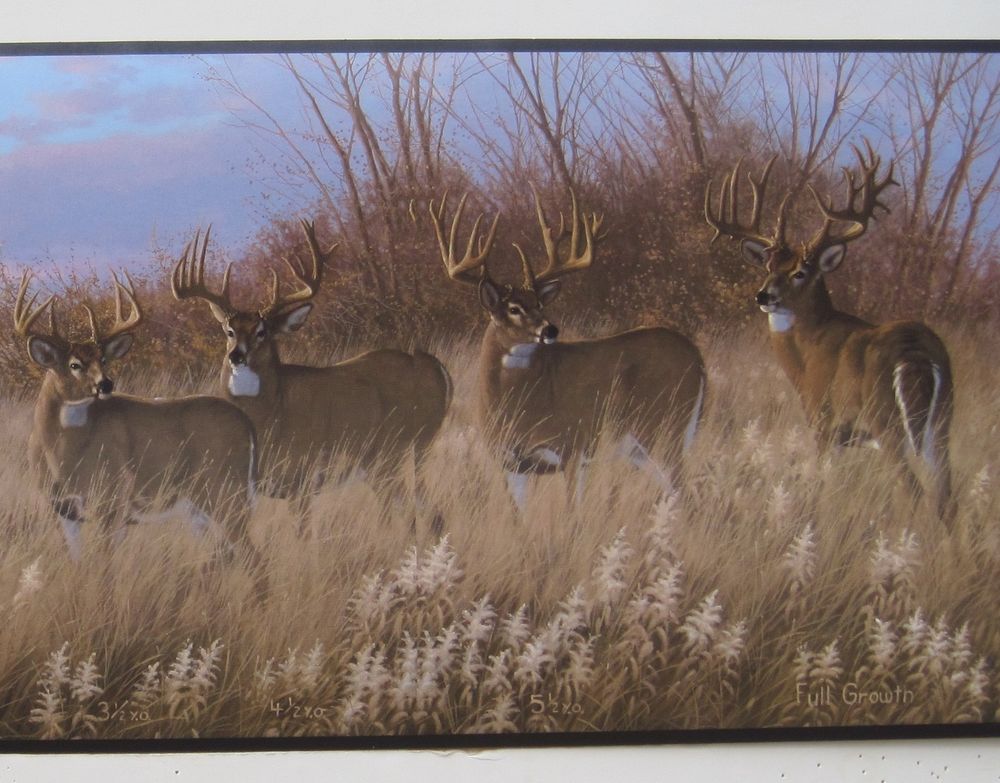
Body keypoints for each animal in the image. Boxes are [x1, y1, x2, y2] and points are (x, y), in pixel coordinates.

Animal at [15, 271, 266, 593]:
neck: (61, 454)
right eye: (74, 364)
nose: (106, 384)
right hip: (200, 506)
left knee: (252, 557)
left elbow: (104, 572)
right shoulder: (62, 510)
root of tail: (246, 422)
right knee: (223, 555)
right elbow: (78, 567)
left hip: (226, 489)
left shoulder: (111, 500)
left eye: (104, 359)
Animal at [171, 220, 451, 533]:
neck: (270, 417)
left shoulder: (302, 475)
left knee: (427, 511)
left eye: (262, 332)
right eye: (229, 331)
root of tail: (432, 365)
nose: (236, 356)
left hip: (407, 445)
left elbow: (302, 532)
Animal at [429, 187, 706, 510]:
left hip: (664, 425)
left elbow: (572, 514)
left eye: (540, 304)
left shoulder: (575, 446)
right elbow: (520, 518)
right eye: (513, 308)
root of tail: (696, 356)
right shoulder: (509, 464)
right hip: (644, 446)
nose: (550, 329)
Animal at [705, 141, 955, 526]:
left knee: (913, 490)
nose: (764, 296)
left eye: (800, 272)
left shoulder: (823, 421)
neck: (807, 355)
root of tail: (915, 353)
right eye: (768, 266)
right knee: (946, 496)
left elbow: (823, 484)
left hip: (888, 423)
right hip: (941, 423)